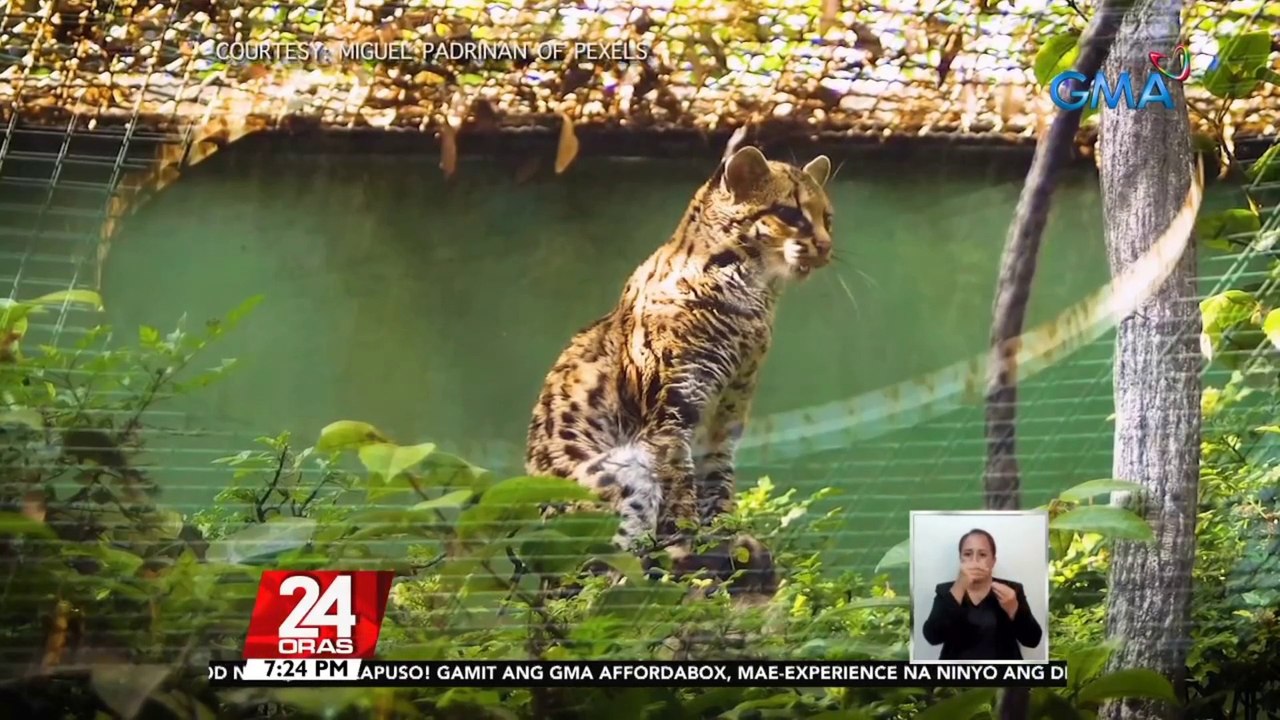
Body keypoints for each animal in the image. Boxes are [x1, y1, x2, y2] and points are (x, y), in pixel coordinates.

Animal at [525, 142, 835, 601]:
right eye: (791, 213)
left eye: (827, 217)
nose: (827, 245)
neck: (753, 298)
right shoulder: (670, 418)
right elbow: (681, 496)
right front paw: (694, 553)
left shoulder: (722, 425)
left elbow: (718, 494)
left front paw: (723, 545)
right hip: (622, 471)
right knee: (599, 586)